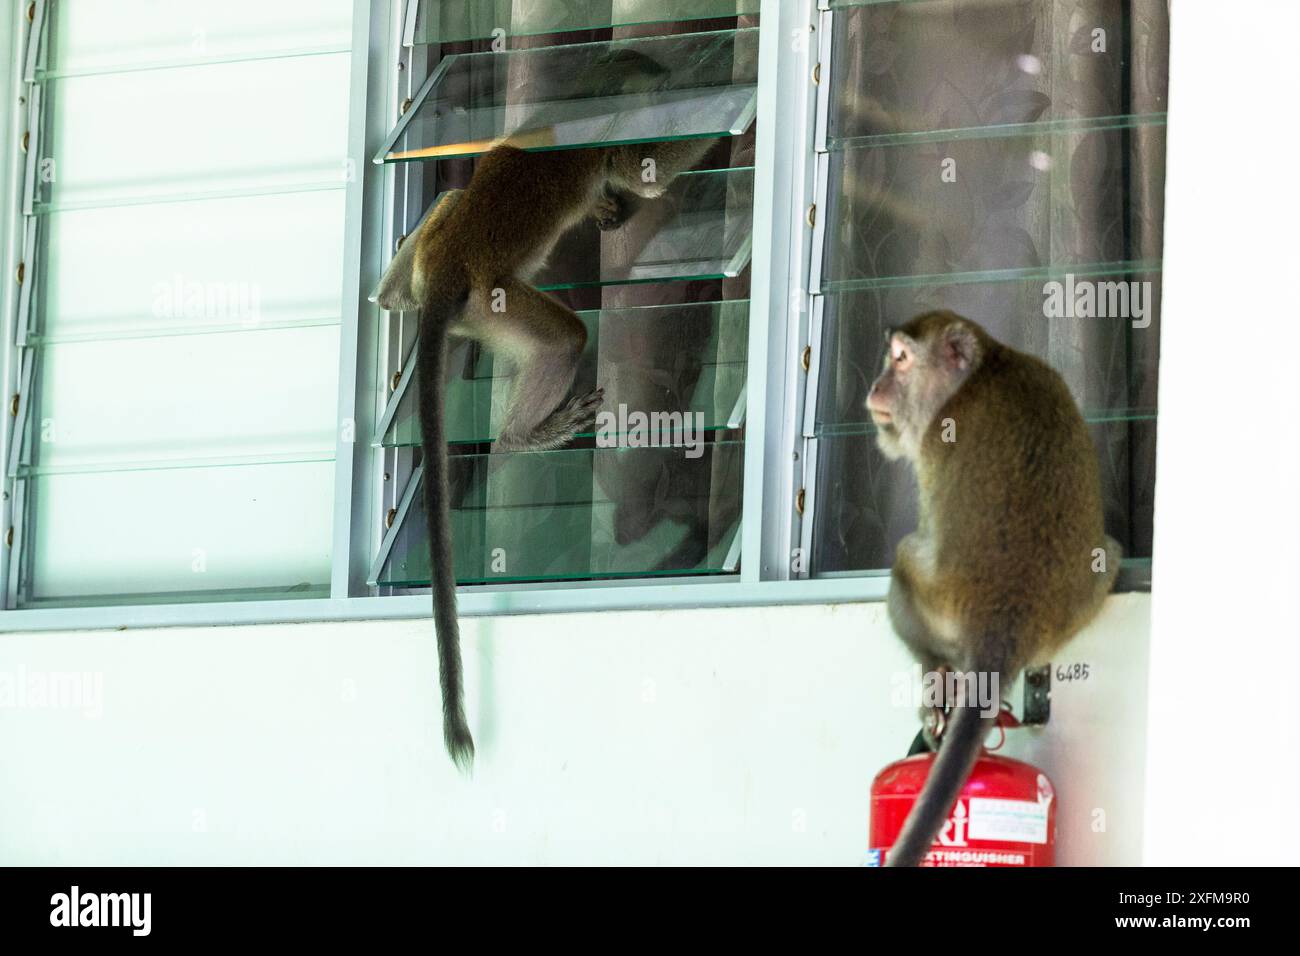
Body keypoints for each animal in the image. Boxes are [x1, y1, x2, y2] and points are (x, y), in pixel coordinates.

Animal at [373, 136, 718, 771]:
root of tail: (446, 269)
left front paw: (605, 209)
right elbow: (644, 172)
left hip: (453, 271)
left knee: (450, 200)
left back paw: (389, 294)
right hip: (492, 300)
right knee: (565, 338)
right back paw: (521, 436)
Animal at [865, 310, 1121, 867]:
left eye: (900, 359)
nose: (875, 387)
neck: (986, 369)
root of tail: (1005, 618)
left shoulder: (933, 442)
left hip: (935, 598)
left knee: (904, 564)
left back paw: (936, 676)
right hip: (1083, 600)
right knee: (1110, 553)